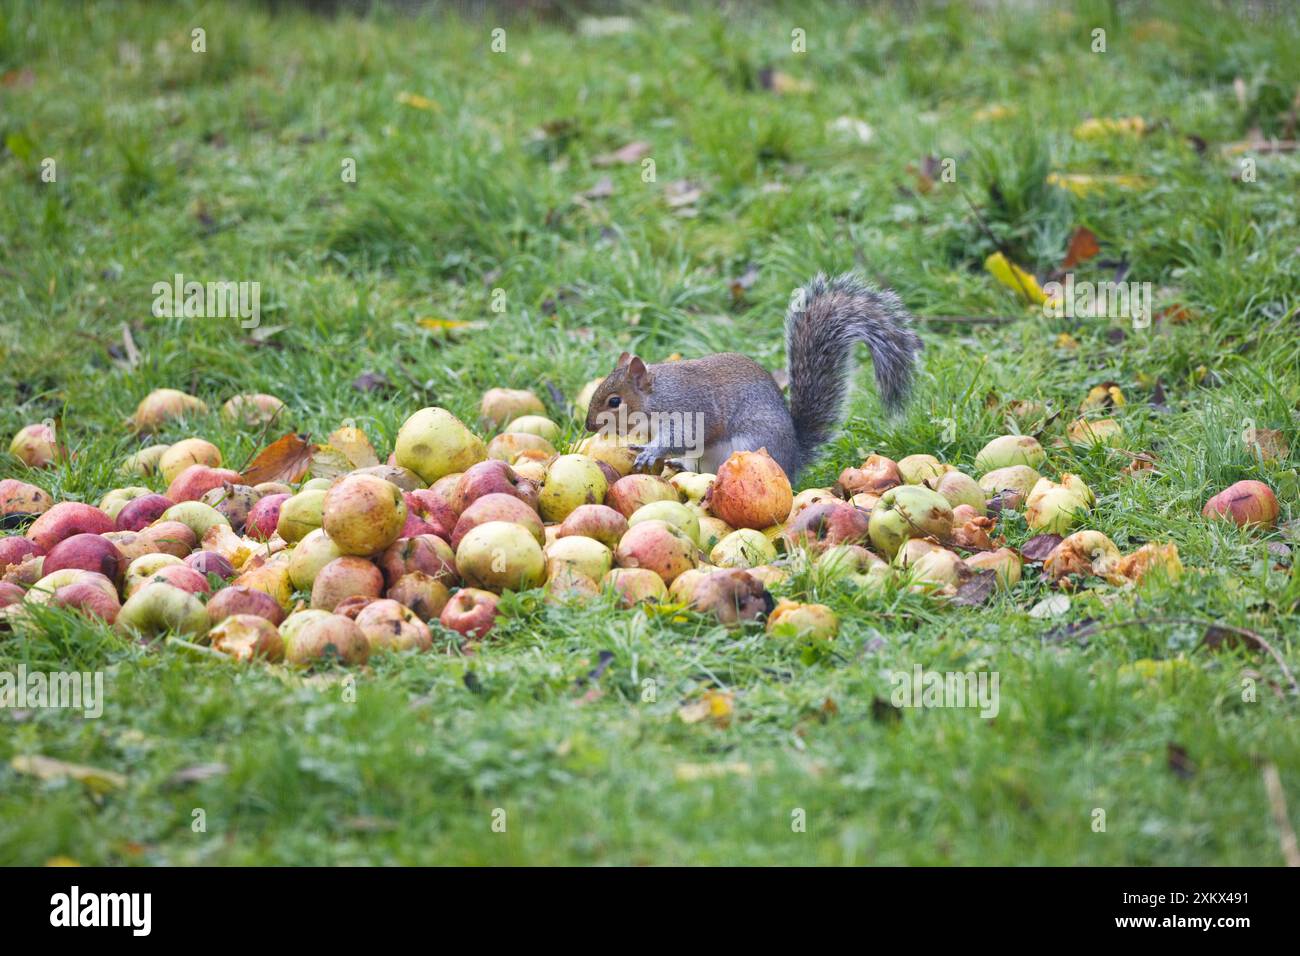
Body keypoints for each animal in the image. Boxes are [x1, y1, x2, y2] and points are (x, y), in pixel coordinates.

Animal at [584, 272, 923, 481]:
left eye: (614, 401)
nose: (588, 426)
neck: (657, 396)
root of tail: (792, 462)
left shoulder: (690, 409)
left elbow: (681, 436)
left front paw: (652, 450)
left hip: (750, 447)